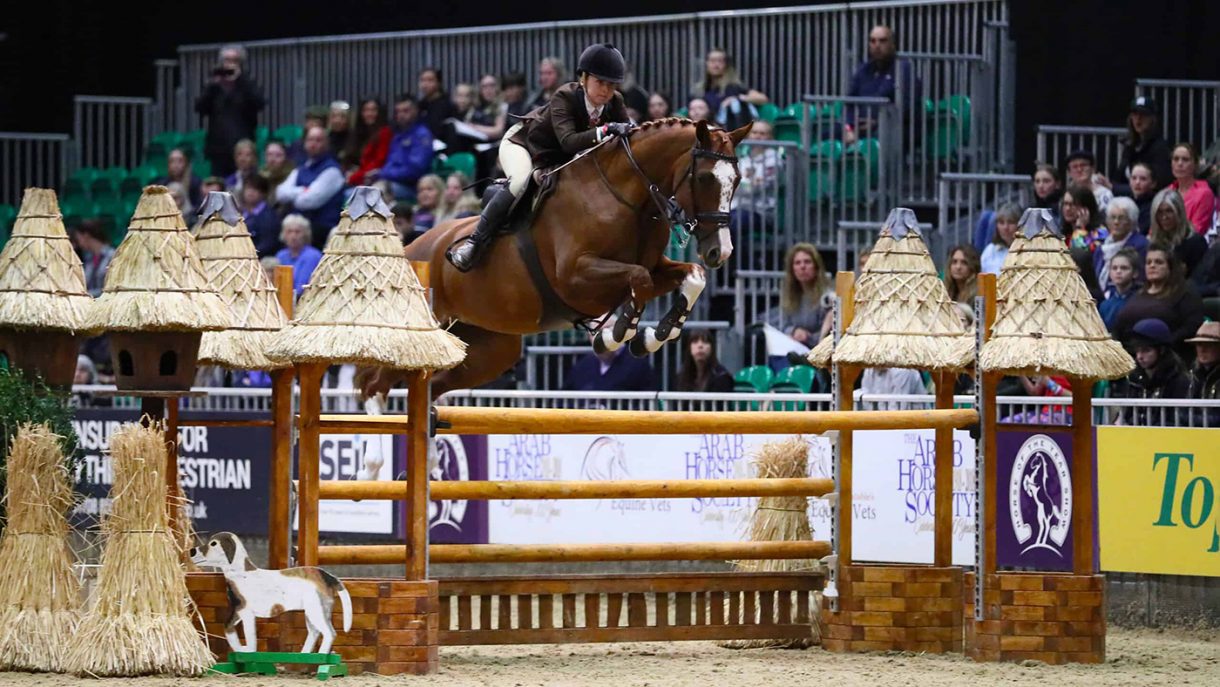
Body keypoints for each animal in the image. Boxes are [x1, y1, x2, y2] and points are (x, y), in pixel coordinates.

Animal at [362, 117, 752, 400]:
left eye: (737, 180)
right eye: (705, 177)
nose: (721, 252)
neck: (627, 198)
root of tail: (409, 250)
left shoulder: (655, 269)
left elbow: (690, 276)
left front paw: (653, 336)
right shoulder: (575, 278)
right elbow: (637, 278)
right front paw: (616, 334)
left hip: (490, 348)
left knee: (433, 385)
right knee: (375, 384)